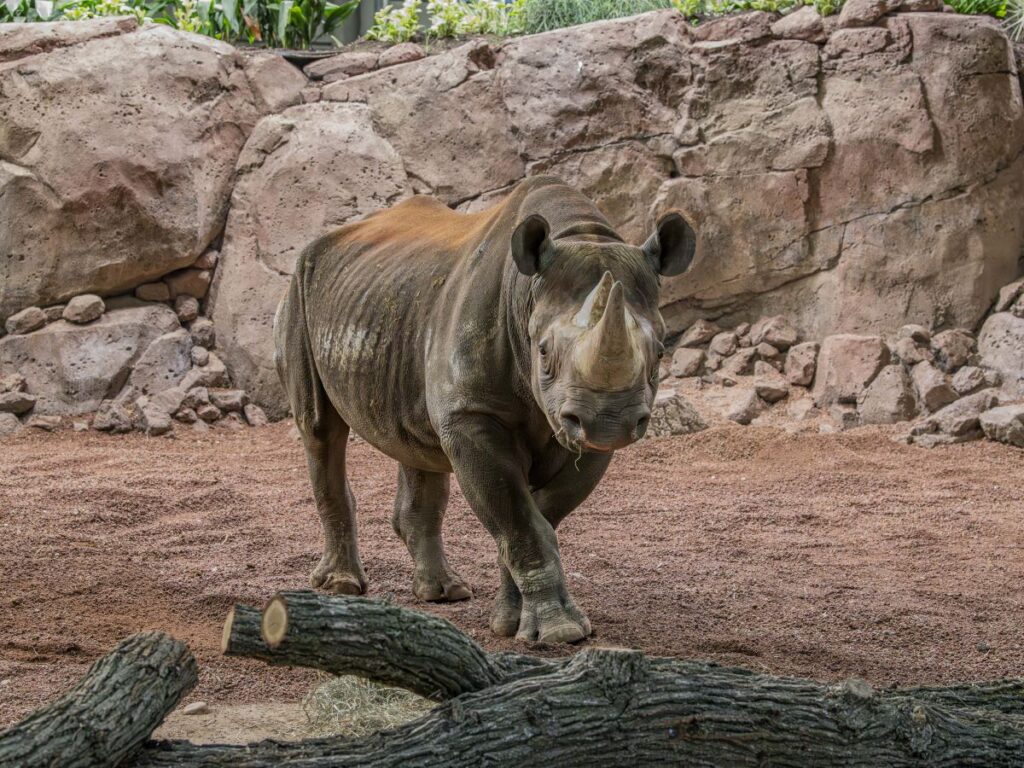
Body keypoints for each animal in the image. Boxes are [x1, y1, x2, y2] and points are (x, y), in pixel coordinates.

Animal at [275, 176, 697, 643]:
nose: (609, 421)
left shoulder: (579, 431)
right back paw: (343, 586)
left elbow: (537, 517)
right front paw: (560, 632)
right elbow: (520, 521)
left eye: (660, 353)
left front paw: (513, 622)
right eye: (543, 352)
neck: (527, 292)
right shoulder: (472, 415)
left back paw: (444, 592)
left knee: (416, 442)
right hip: (301, 287)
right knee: (320, 428)